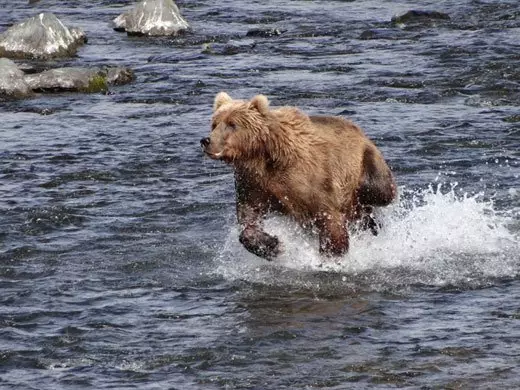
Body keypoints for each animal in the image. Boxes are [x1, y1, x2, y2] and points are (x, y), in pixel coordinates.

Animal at [201, 92, 396, 258]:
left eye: (232, 124)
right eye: (214, 123)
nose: (206, 140)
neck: (264, 156)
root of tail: (359, 130)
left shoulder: (311, 178)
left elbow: (329, 216)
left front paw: (332, 252)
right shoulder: (253, 180)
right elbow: (249, 214)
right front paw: (272, 245)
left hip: (366, 162)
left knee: (378, 192)